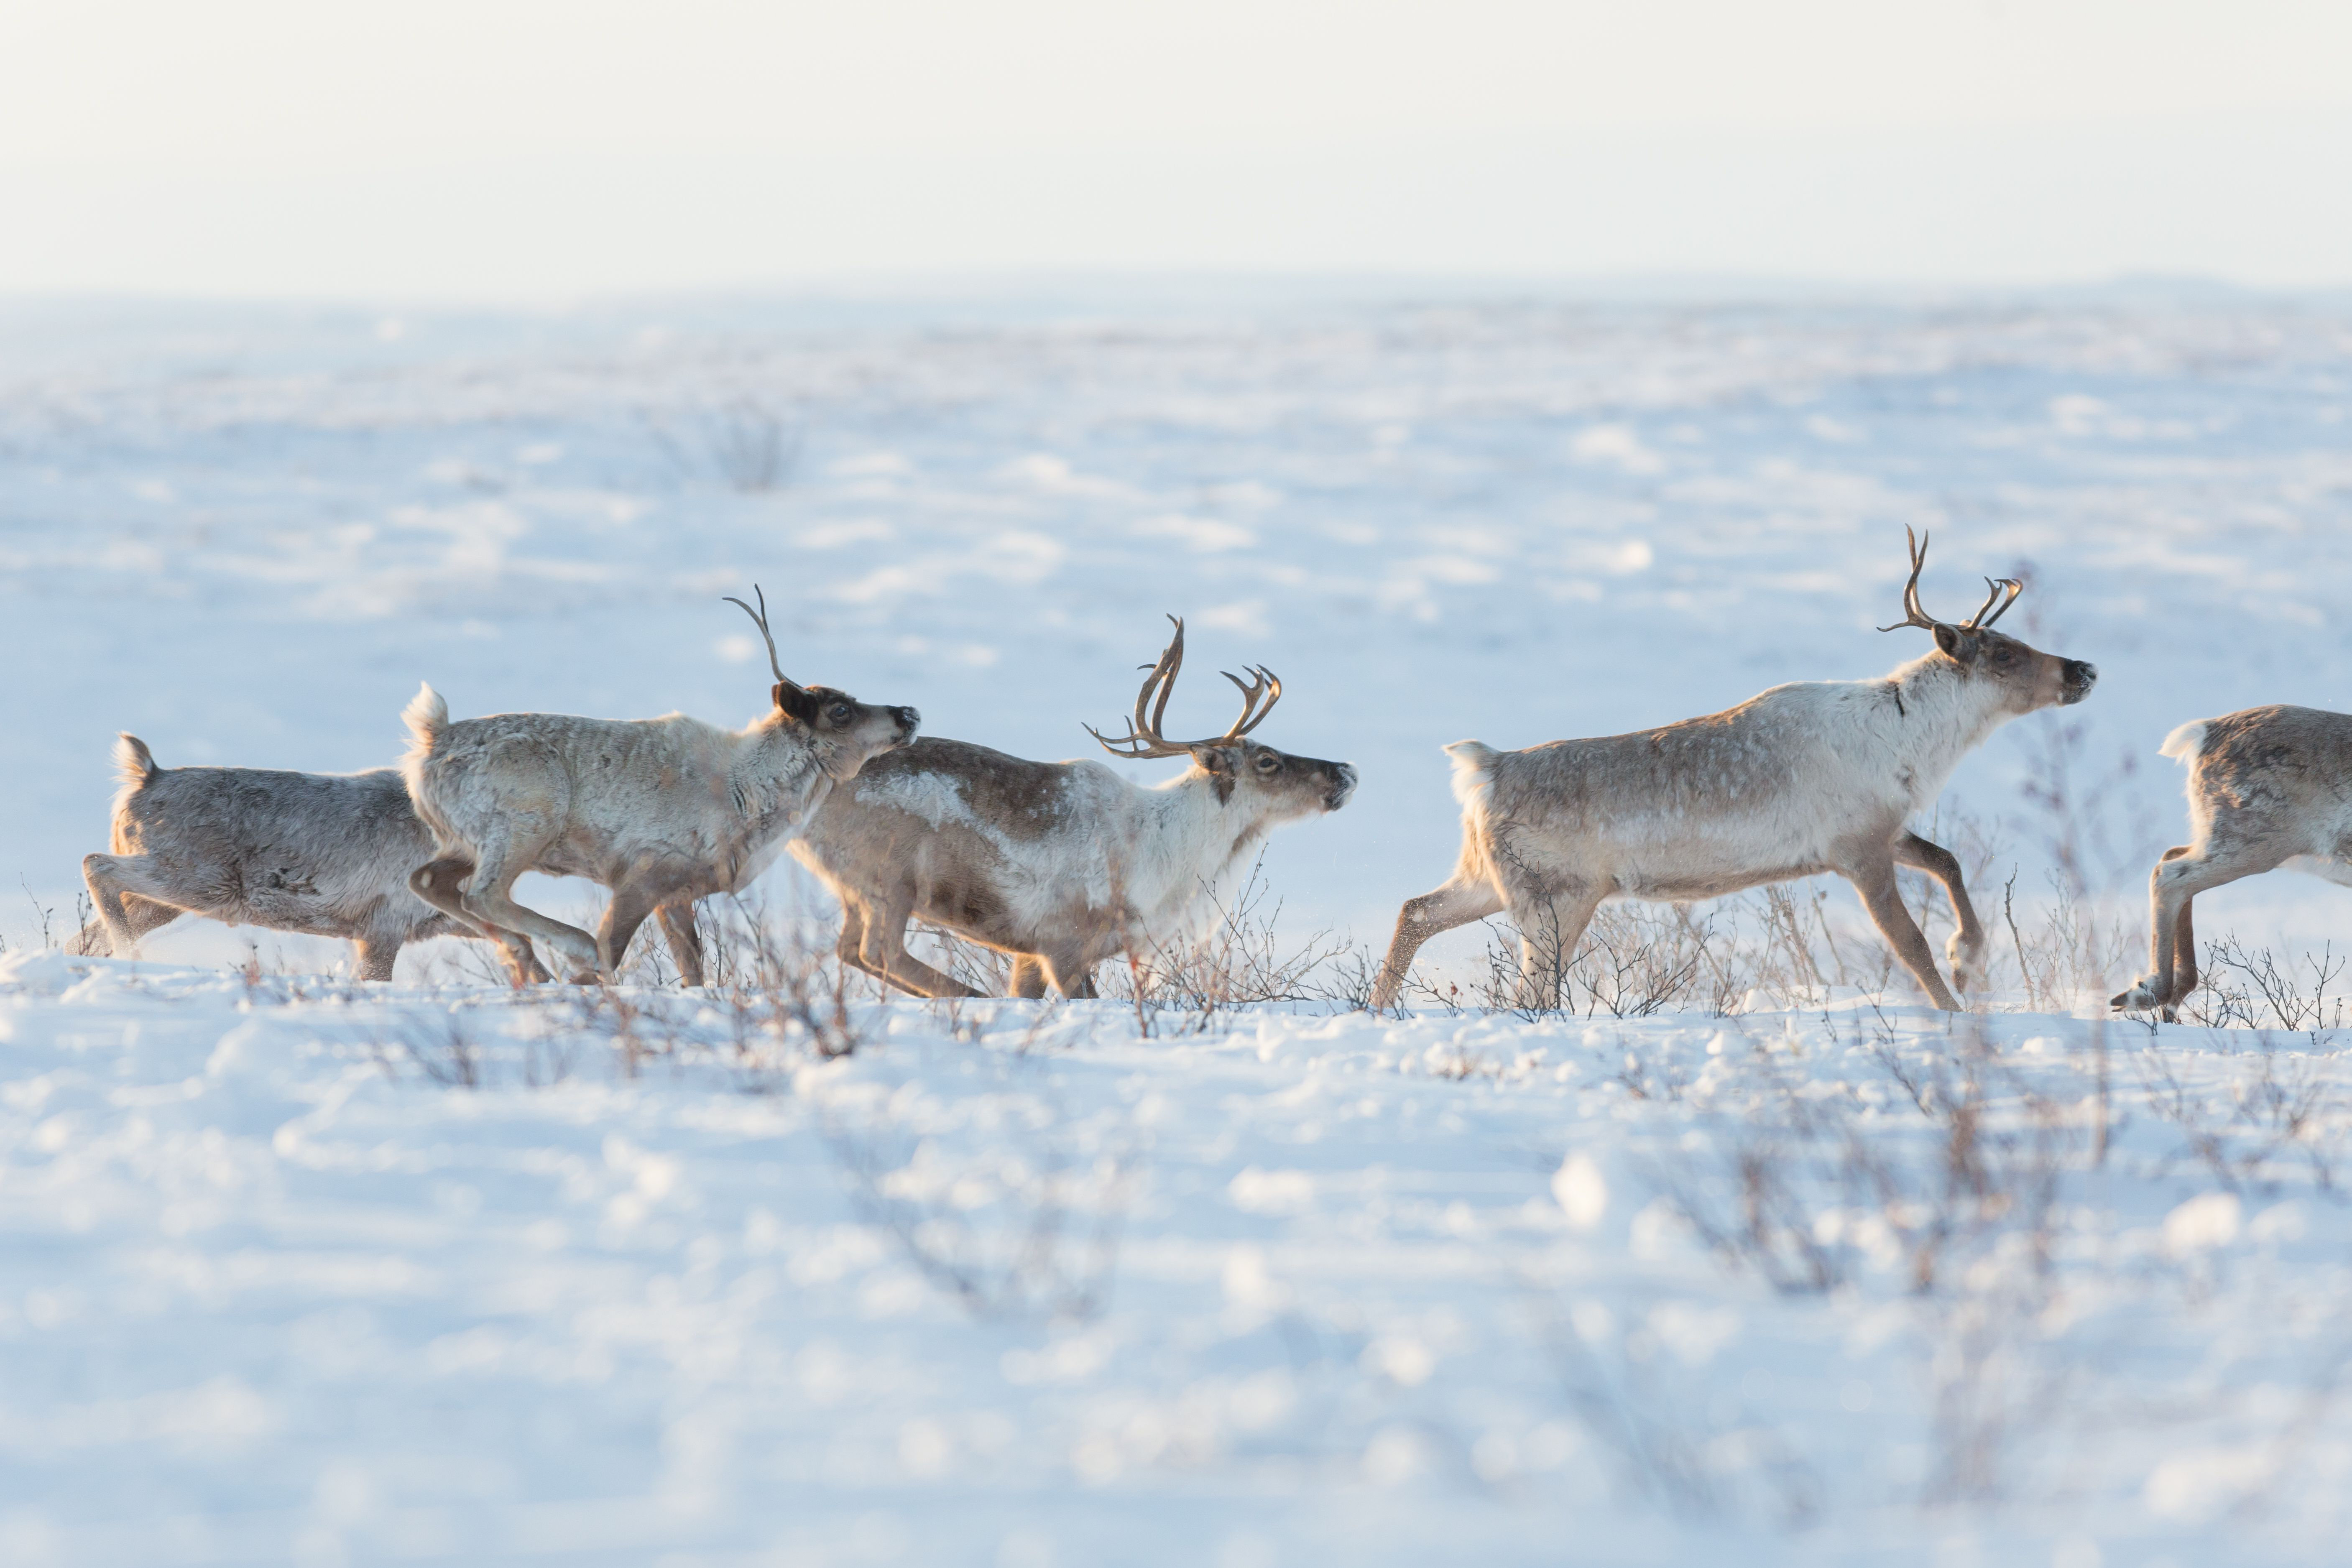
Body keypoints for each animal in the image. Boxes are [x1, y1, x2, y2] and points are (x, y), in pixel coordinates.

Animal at [73, 734, 549, 983]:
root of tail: (146, 775)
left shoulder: (436, 920)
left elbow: (522, 941)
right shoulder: (384, 927)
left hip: (167, 901)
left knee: (84, 933)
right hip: (199, 883)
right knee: (96, 865)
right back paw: (129, 951)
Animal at [400, 588, 919, 985]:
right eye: (841, 711)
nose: (909, 713)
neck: (748, 793)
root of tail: (429, 741)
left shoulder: (678, 895)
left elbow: (693, 970)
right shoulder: (643, 875)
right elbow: (614, 948)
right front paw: (588, 969)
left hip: (463, 841)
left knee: (426, 880)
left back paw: (526, 956)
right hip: (527, 823)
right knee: (483, 894)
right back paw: (567, 948)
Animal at [788, 616, 1356, 999]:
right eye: (1267, 760)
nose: (1347, 771)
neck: (1168, 855)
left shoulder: (1028, 954)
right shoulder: (1064, 946)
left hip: (856, 888)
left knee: (850, 950)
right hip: (892, 879)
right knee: (878, 951)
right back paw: (969, 997)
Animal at [1369, 529, 2098, 1013]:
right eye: (2002, 653)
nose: (2083, 669)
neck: (1911, 742)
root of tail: (1484, 769)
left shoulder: (1884, 832)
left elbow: (1949, 862)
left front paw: (1969, 955)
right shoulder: (1856, 849)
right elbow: (1910, 943)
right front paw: (1953, 1007)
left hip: (1490, 878)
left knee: (1416, 910)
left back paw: (1377, 1006)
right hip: (1558, 896)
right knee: (1528, 991)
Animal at [2111, 706, 2352, 1020]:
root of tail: (2204, 734)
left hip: (2227, 836)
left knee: (2172, 858)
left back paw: (2173, 995)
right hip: (2254, 840)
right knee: (2169, 877)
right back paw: (2150, 993)